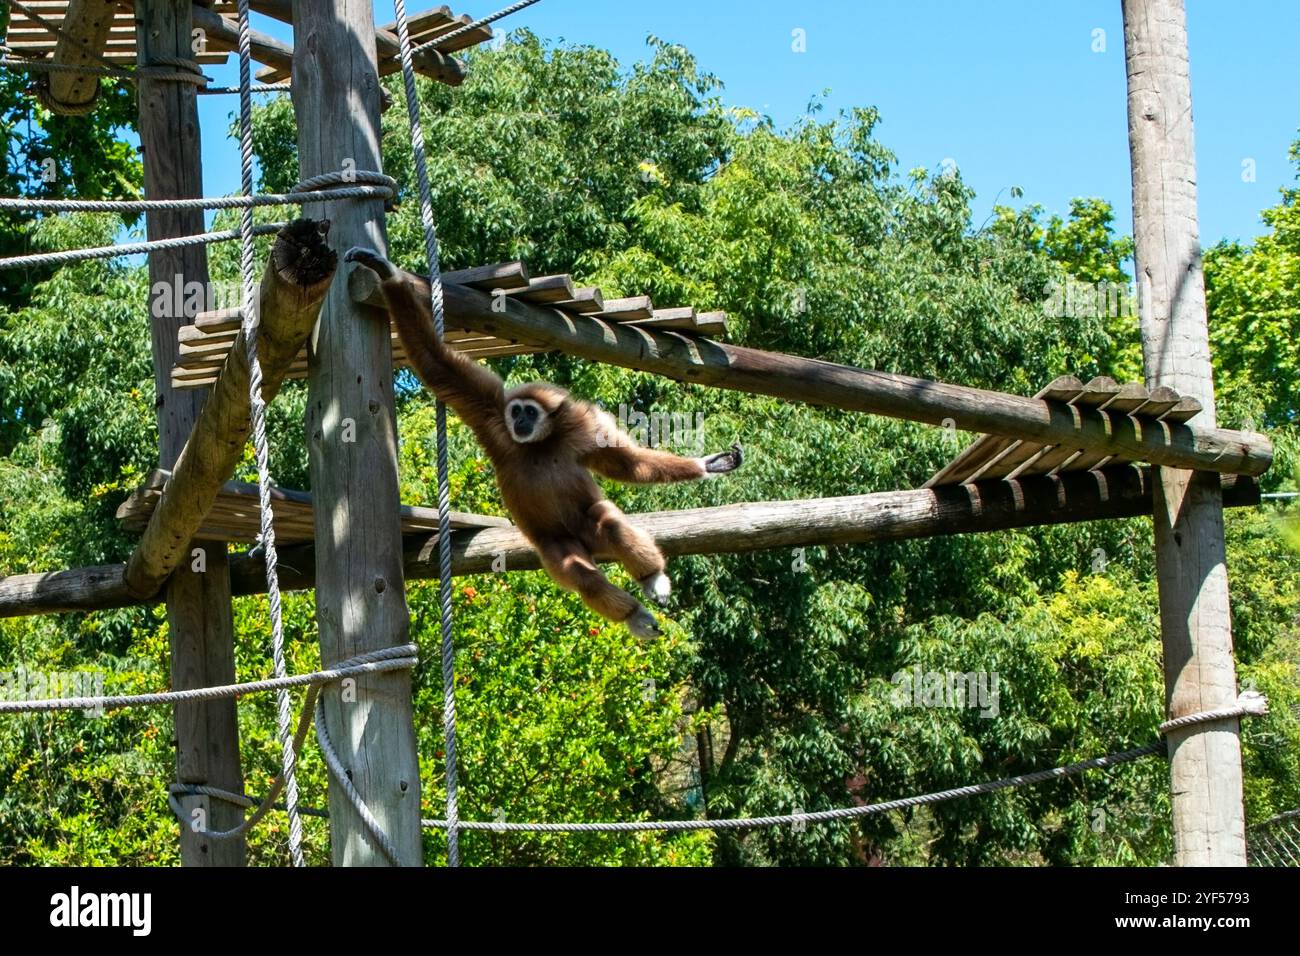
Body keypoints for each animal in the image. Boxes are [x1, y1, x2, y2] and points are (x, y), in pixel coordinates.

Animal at [345, 247, 744, 638]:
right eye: (517, 411)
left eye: (530, 413)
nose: (520, 421)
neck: (540, 442)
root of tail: (585, 544)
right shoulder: (492, 414)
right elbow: (436, 363)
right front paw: (386, 273)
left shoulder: (585, 426)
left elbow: (626, 463)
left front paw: (708, 466)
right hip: (555, 545)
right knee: (578, 571)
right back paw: (634, 613)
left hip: (587, 529)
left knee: (607, 522)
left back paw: (652, 579)